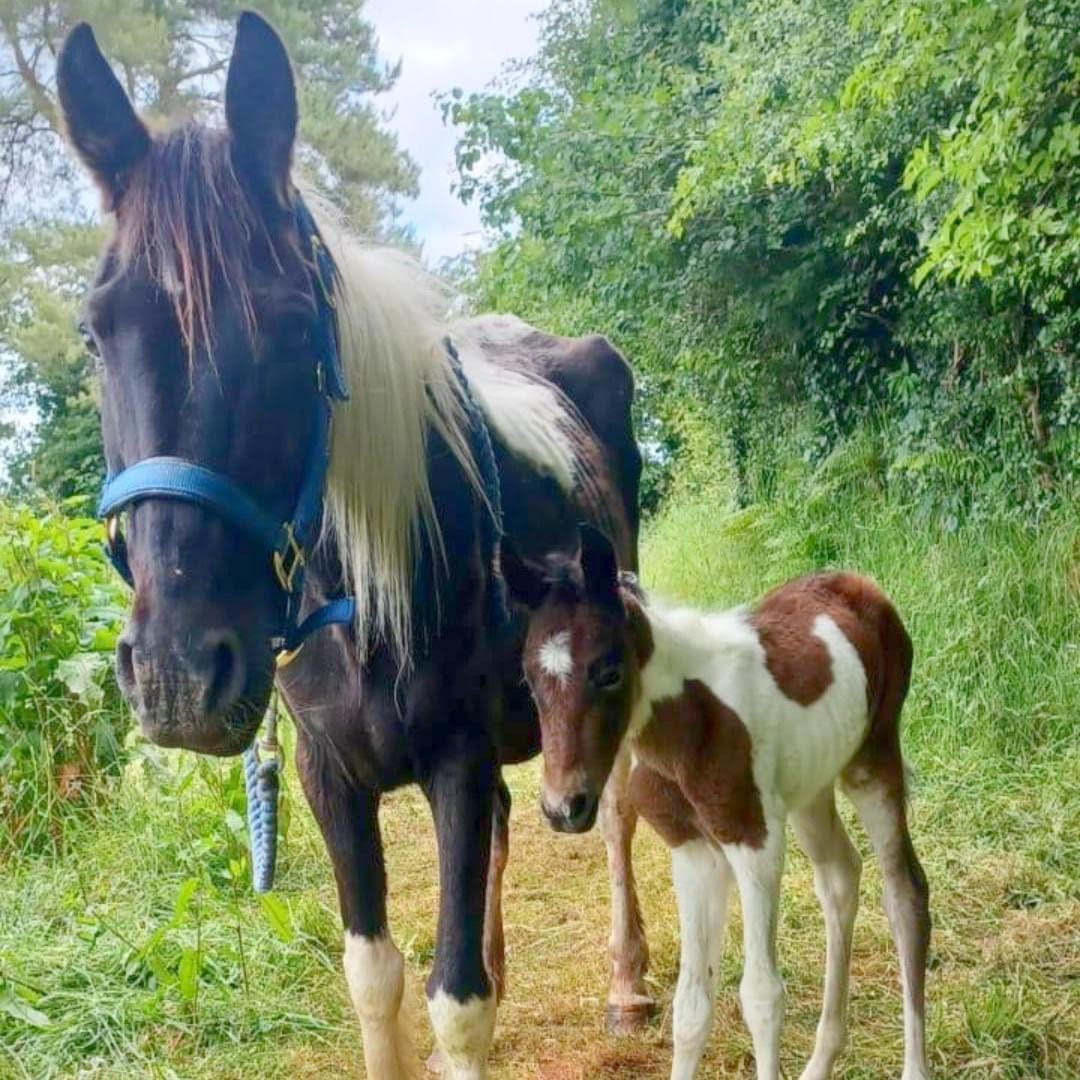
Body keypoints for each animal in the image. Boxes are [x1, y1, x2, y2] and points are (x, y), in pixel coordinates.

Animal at [56, 13, 655, 1077]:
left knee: (619, 801)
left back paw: (629, 985)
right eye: (95, 334)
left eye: (296, 327)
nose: (175, 676)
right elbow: (377, 979)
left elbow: (456, 1002)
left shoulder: (457, 757)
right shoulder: (328, 774)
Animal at [501, 525, 932, 1080]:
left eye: (610, 672)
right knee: (840, 877)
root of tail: (861, 585)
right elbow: (691, 1005)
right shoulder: (692, 850)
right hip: (810, 789)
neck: (686, 720)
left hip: (872, 758)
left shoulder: (753, 840)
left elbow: (762, 996)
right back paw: (820, 1061)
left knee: (905, 895)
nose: (564, 808)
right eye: (529, 681)